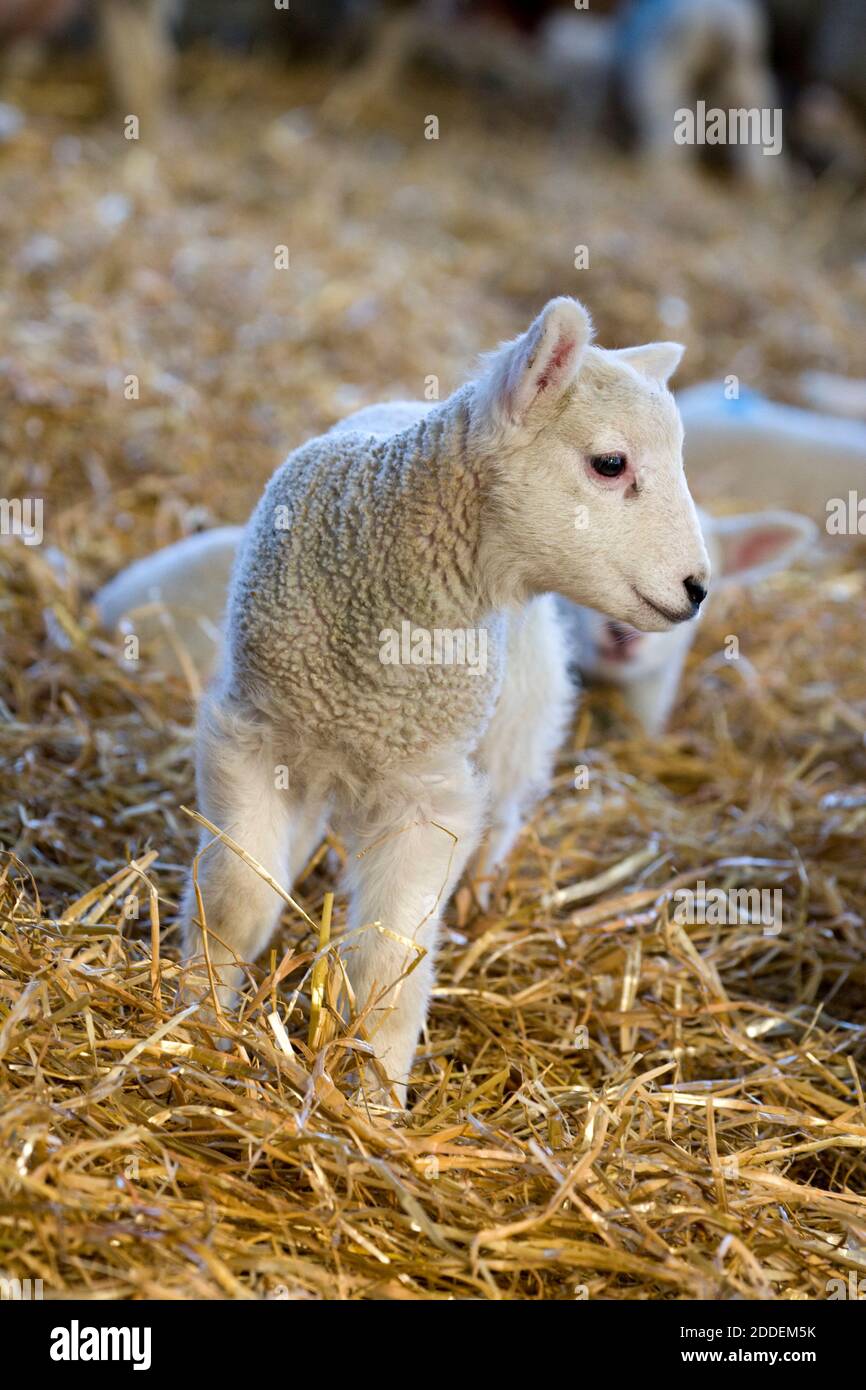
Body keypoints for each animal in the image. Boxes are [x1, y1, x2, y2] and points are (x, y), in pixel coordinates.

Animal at [174, 297, 708, 1103]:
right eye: (610, 464)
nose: (698, 589)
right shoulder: (252, 734)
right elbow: (238, 897)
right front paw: (197, 1019)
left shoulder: (428, 794)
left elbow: (386, 964)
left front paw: (371, 1098)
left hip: (519, 719)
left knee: (506, 808)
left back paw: (482, 887)